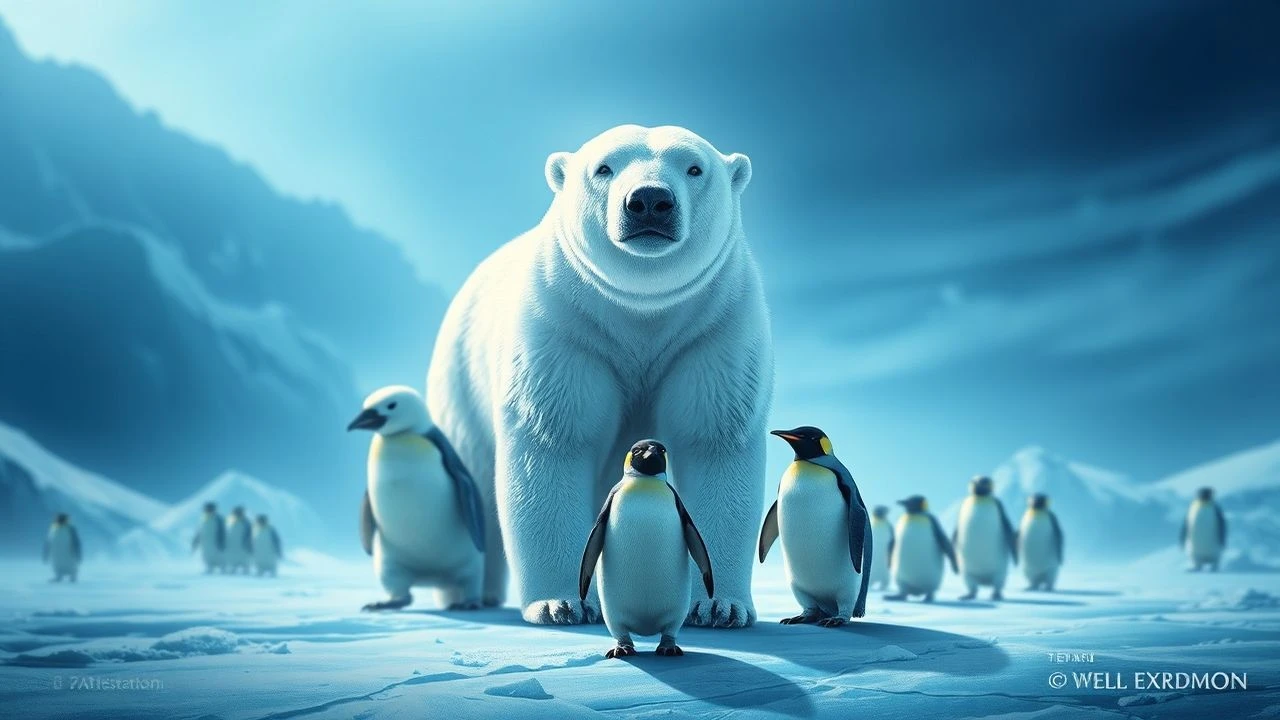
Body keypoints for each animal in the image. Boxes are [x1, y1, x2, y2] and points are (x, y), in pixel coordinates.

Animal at [427, 125, 773, 627]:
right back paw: (469, 595)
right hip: (460, 382)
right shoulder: (565, 328)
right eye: (604, 167)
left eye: (694, 167)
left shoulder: (713, 329)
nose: (649, 200)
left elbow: (713, 442)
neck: (641, 311)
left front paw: (719, 606)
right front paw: (560, 604)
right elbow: (554, 441)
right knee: (472, 486)